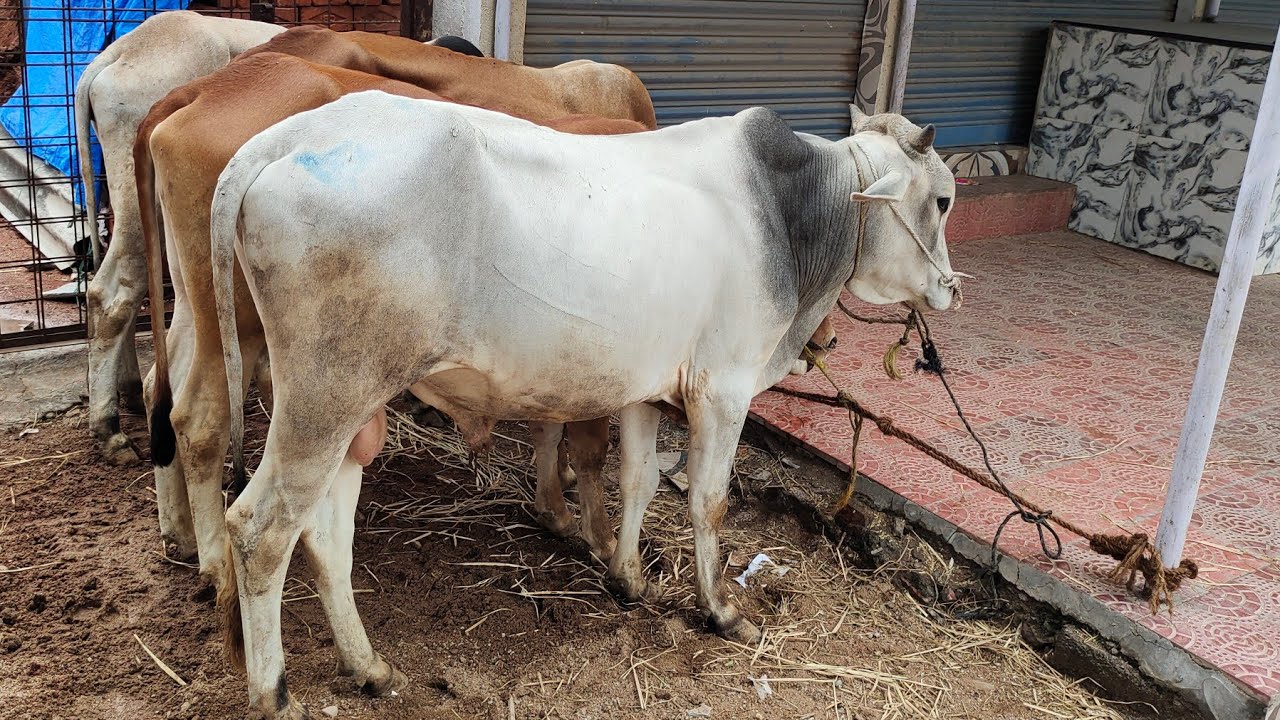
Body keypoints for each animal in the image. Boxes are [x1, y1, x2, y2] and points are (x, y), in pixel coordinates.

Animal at [136, 41, 655, 595]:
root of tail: (208, 87)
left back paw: (180, 534)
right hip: (239, 325)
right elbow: (589, 446)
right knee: (199, 422)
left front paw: (555, 505)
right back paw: (214, 560)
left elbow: (550, 427)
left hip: (193, 299)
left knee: (160, 389)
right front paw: (599, 538)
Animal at [207, 93, 962, 717]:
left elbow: (638, 480)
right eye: (945, 200)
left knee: (325, 533)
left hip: (345, 407)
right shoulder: (724, 388)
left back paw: (368, 667)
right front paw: (720, 611)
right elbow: (708, 500)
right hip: (326, 397)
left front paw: (627, 577)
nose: (952, 287)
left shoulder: (648, 389)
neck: (790, 211)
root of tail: (284, 138)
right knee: (259, 528)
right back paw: (276, 696)